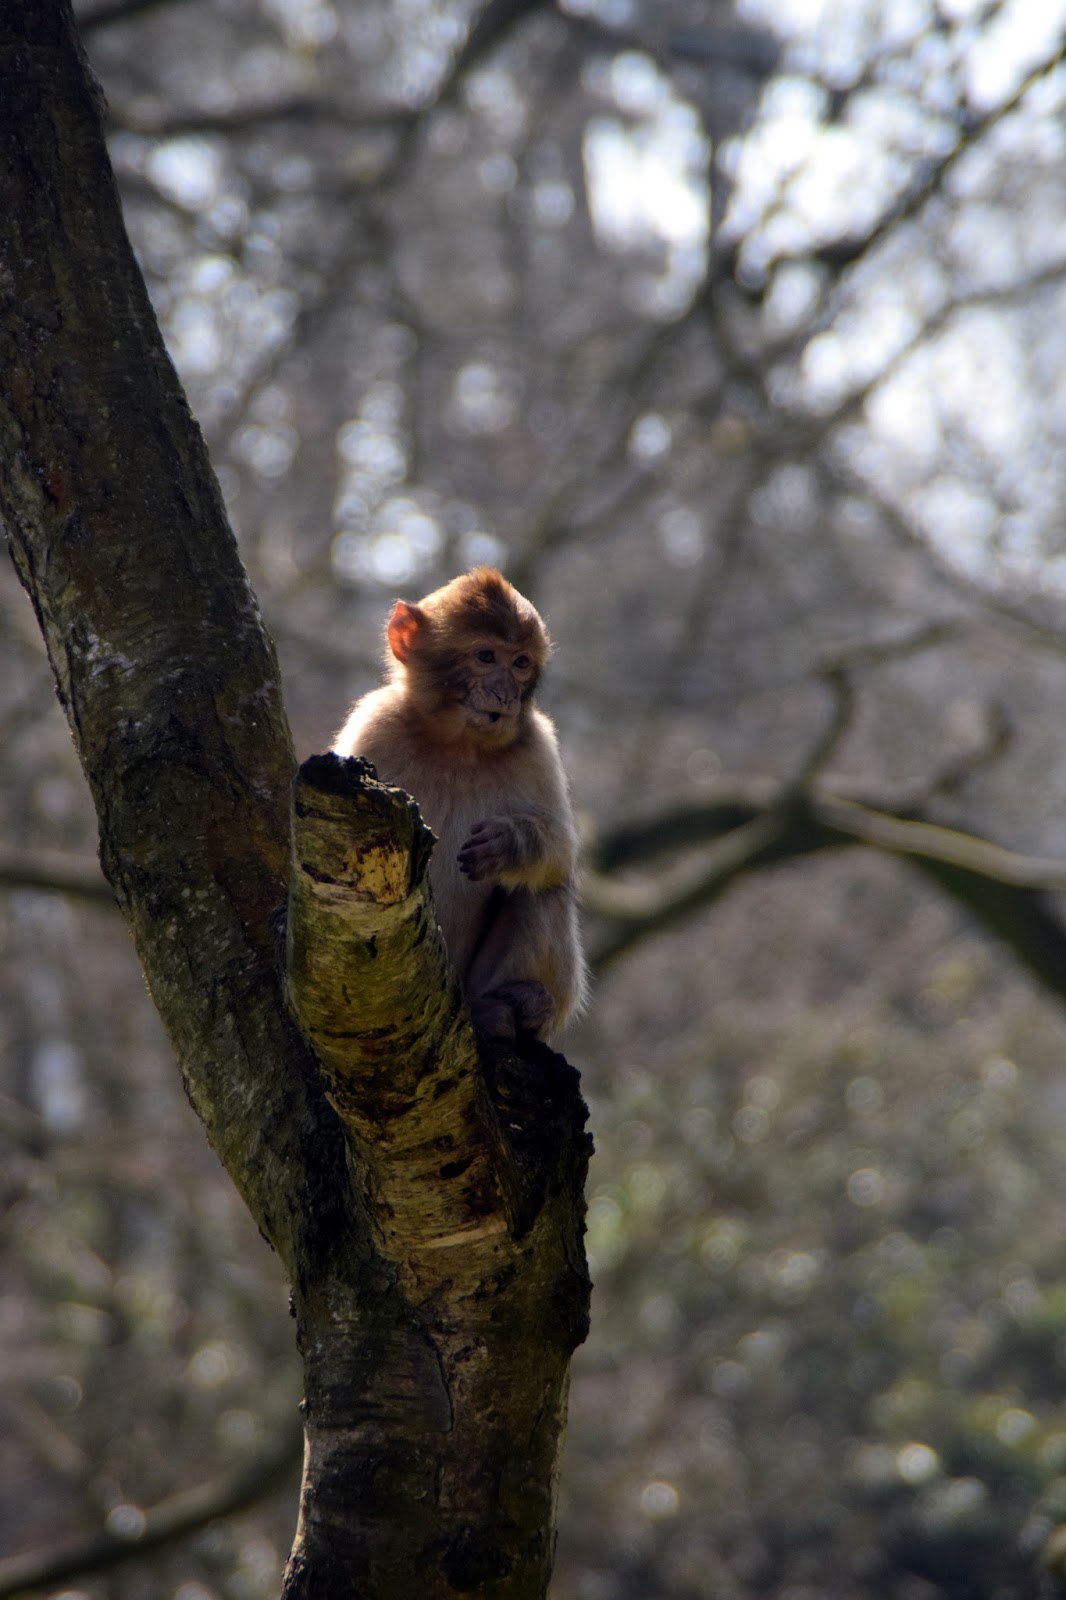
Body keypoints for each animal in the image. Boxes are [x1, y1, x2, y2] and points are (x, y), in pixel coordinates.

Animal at [332, 567, 587, 1041]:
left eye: (520, 663)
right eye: (485, 657)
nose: (505, 695)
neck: (458, 744)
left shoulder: (536, 745)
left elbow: (561, 853)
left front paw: (508, 843)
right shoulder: (375, 728)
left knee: (541, 890)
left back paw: (518, 1005)